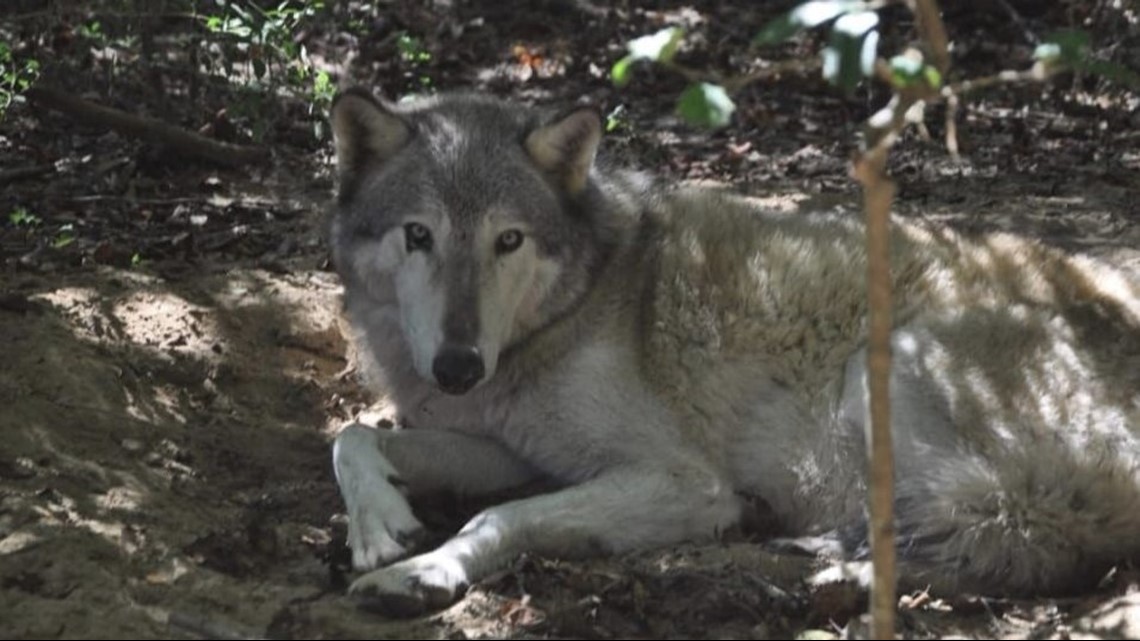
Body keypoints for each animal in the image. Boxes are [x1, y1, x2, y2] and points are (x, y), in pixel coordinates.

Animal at [325, 86, 1140, 615]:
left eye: (508, 240)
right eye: (418, 234)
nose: (457, 367)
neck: (584, 296)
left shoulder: (684, 482)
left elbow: (496, 518)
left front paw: (424, 571)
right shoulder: (512, 450)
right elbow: (353, 435)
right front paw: (381, 523)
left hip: (890, 362)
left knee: (1026, 538)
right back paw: (826, 564)